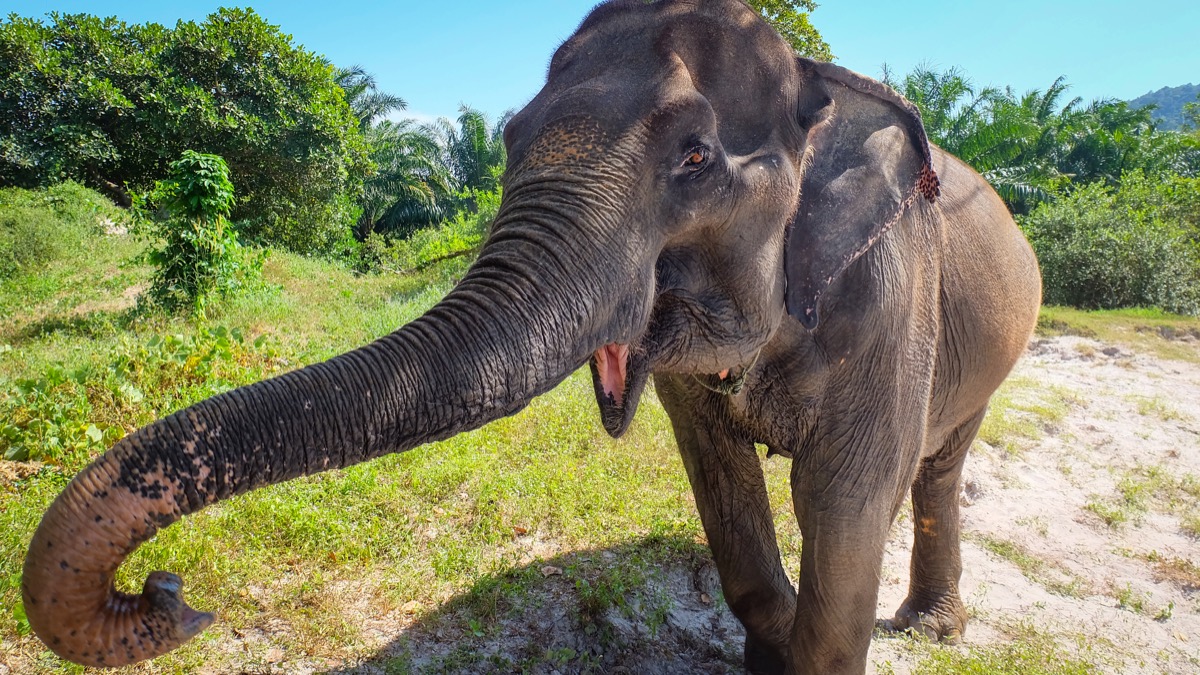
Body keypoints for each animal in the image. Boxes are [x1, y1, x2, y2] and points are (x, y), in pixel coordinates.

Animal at [22, 1, 1040, 672]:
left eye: (695, 157)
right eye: (507, 140)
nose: (167, 589)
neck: (817, 80)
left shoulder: (890, 308)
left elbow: (844, 504)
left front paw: (807, 636)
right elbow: (723, 491)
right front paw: (773, 635)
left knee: (936, 468)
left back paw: (929, 628)